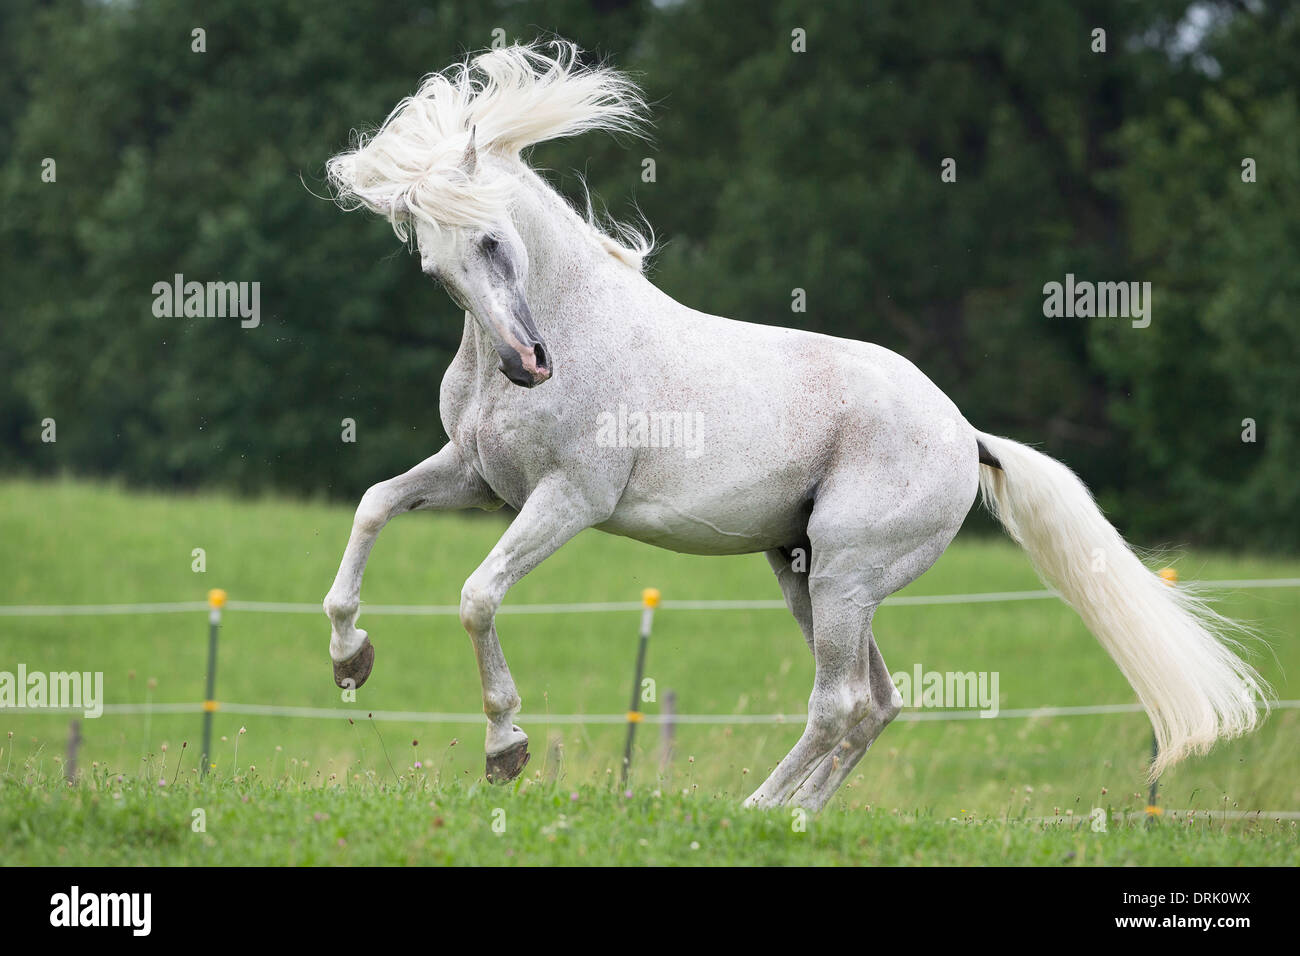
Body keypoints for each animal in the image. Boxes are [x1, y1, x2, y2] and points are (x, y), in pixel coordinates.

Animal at [322, 41, 1268, 810]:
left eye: (492, 240)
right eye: (433, 265)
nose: (529, 364)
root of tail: (967, 437)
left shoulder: (568, 501)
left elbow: (478, 597)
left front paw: (505, 751)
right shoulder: (478, 480)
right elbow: (373, 506)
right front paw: (350, 658)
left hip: (847, 575)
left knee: (840, 702)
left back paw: (755, 812)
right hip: (806, 571)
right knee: (875, 703)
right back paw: (795, 817)